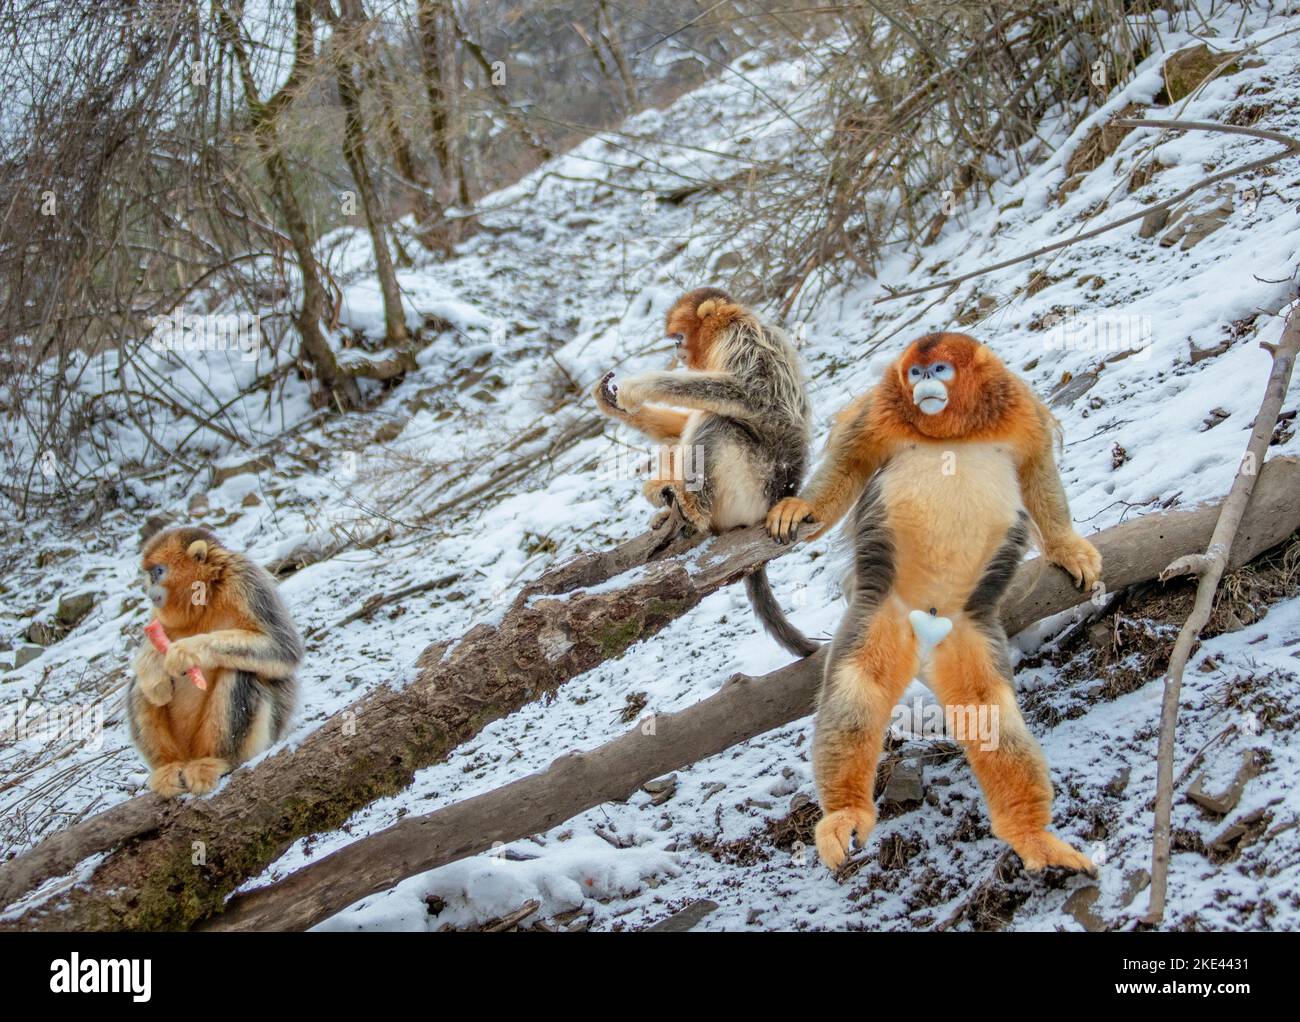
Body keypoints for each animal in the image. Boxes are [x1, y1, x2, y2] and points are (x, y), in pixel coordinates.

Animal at [128, 526, 304, 797]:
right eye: (149, 574)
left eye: (158, 572)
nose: (148, 589)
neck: (205, 597)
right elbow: (151, 651)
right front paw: (155, 672)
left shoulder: (244, 580)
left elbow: (283, 650)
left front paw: (187, 651)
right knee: (139, 686)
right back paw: (169, 766)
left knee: (241, 672)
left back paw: (216, 761)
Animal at [593, 287, 818, 657]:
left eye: (679, 338)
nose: (677, 351)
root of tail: (781, 494)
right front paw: (615, 407)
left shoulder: (743, 339)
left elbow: (748, 395)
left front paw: (639, 387)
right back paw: (667, 501)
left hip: (750, 492)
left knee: (718, 422)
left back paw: (692, 508)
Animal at [767, 331, 1102, 873]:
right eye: (915, 373)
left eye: (939, 369)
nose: (924, 383)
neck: (952, 431)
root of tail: (928, 631)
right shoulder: (881, 410)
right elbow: (849, 465)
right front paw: (800, 506)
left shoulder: (1020, 409)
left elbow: (1037, 472)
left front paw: (1068, 548)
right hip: (884, 615)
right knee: (857, 687)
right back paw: (845, 812)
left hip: (969, 631)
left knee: (991, 711)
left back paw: (1030, 833)